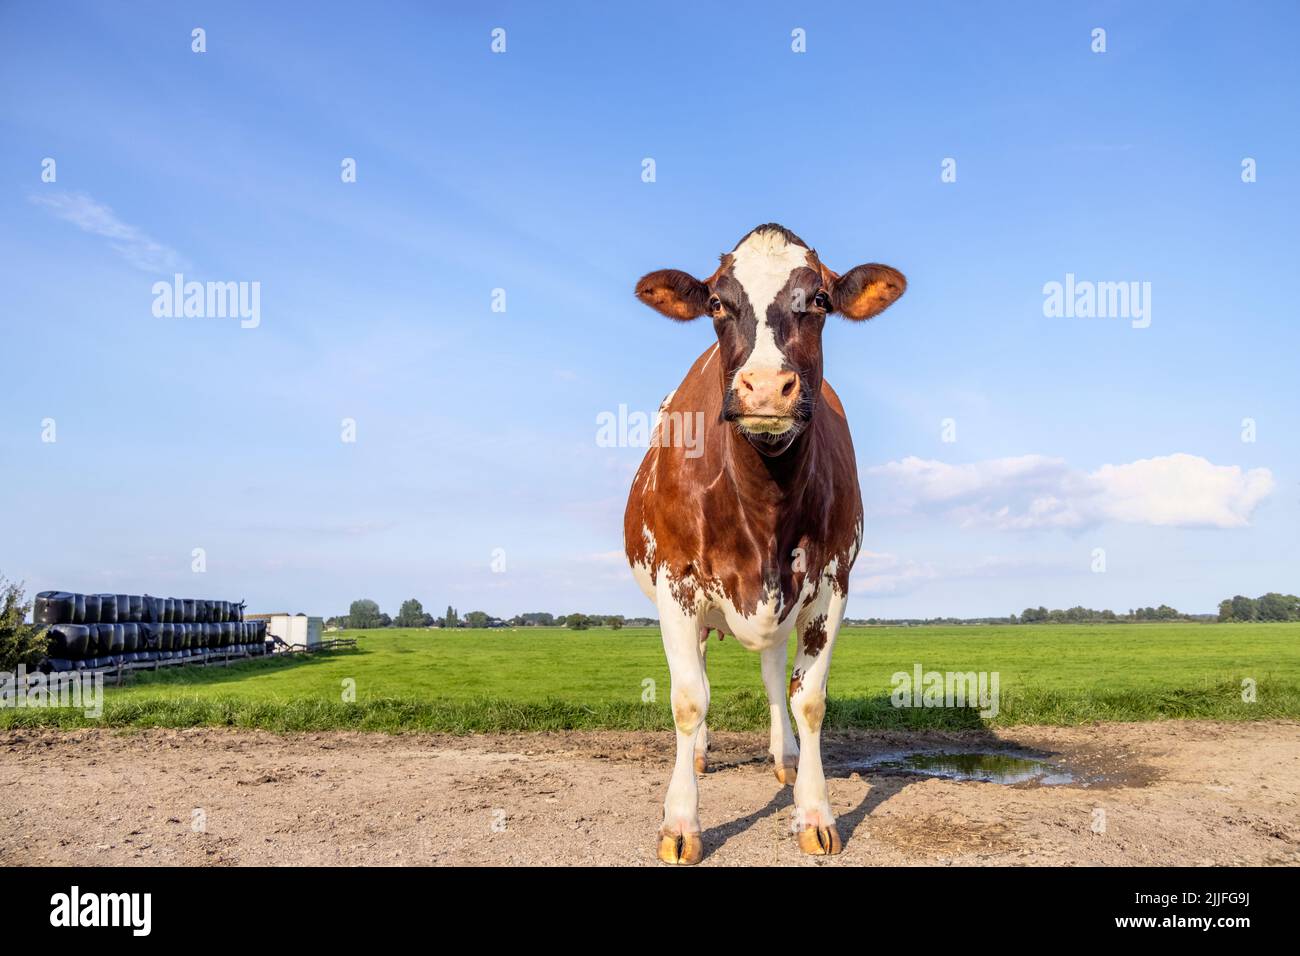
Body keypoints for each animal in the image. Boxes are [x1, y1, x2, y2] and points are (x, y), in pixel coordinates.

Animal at [625, 224, 906, 864]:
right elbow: (689, 698)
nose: (765, 390)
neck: (763, 499)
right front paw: (681, 821)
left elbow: (809, 699)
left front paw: (815, 812)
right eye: (716, 304)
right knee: (703, 672)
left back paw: (785, 757)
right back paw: (702, 756)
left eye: (820, 300)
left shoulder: (832, 582)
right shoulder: (676, 583)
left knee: (776, 675)